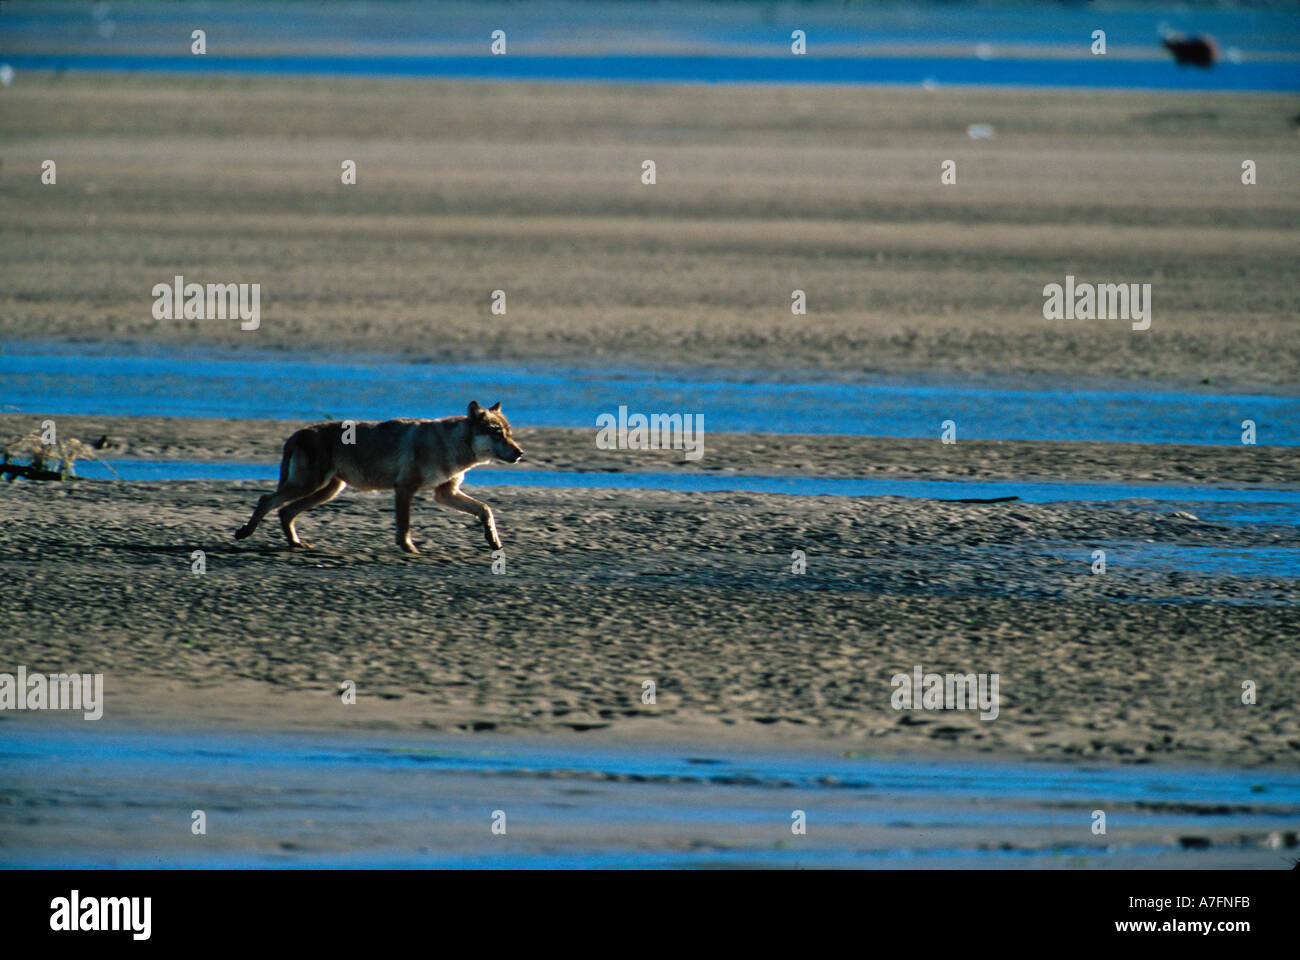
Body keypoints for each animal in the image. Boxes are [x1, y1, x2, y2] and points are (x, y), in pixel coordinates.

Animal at [234, 401, 523, 554]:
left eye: (509, 433)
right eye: (497, 433)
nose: (521, 453)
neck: (450, 445)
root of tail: (295, 434)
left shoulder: (444, 494)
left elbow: (485, 509)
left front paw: (493, 540)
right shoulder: (404, 488)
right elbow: (404, 525)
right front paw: (408, 549)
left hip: (326, 490)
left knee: (285, 511)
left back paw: (295, 543)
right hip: (310, 485)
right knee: (267, 500)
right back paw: (245, 532)